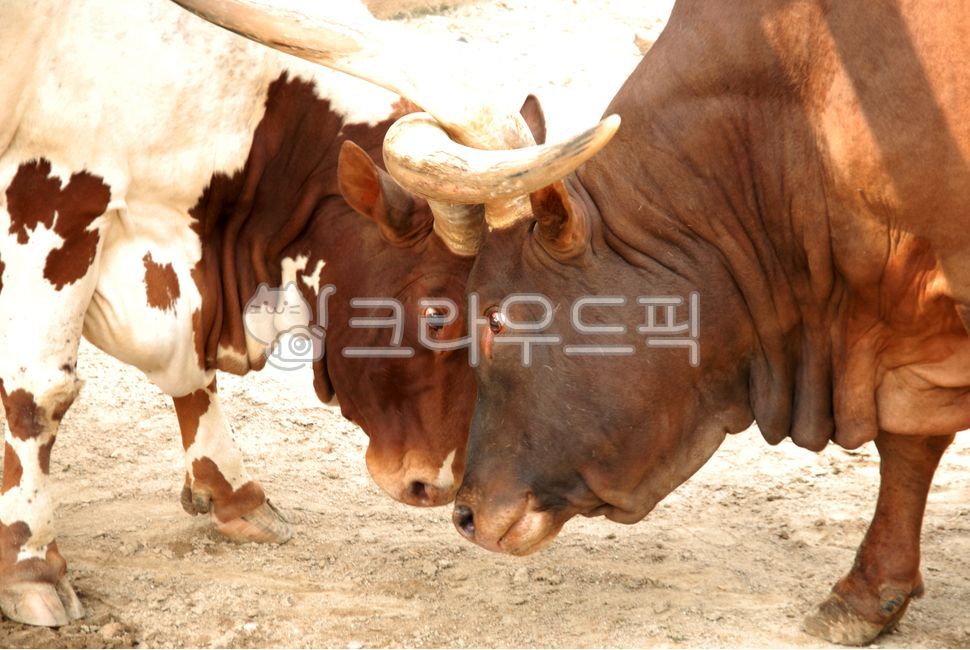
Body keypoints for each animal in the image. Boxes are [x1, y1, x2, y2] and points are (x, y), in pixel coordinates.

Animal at [0, 0, 545, 628]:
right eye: (437, 314)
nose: (433, 484)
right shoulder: (54, 198)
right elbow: (39, 392)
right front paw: (31, 564)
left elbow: (195, 376)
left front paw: (232, 492)